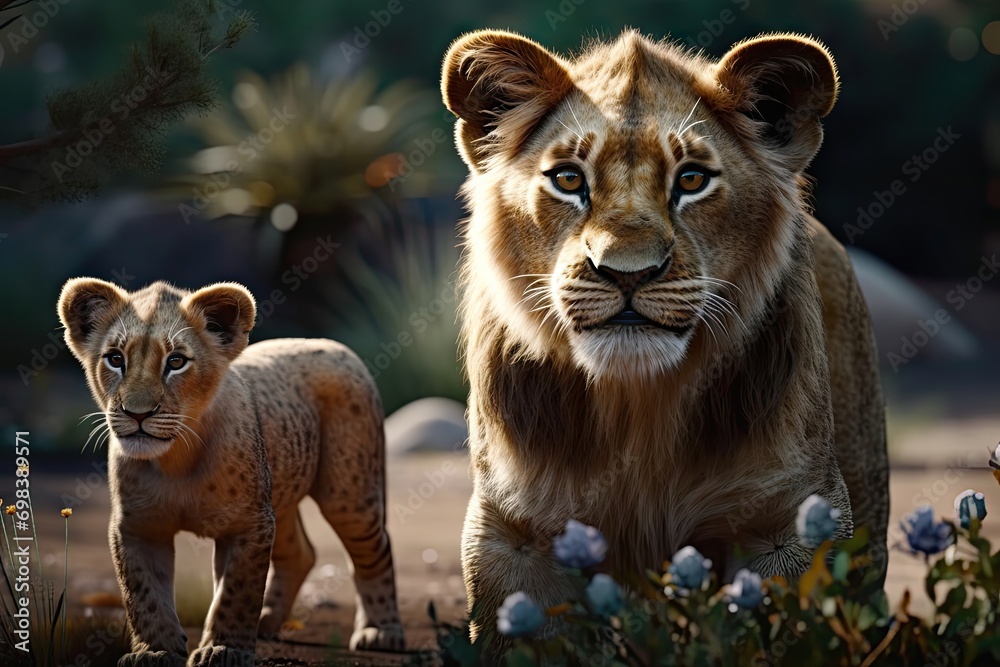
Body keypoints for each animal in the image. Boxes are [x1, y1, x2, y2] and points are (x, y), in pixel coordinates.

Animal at [58, 278, 404, 667]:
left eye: (176, 361)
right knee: (301, 553)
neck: (177, 460)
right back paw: (268, 621)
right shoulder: (137, 528)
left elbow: (237, 591)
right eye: (116, 359)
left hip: (348, 496)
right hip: (279, 497)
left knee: (374, 551)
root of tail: (336, 346)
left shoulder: (248, 524)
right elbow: (144, 595)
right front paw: (155, 651)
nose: (138, 413)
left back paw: (381, 632)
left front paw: (223, 649)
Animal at [440, 29, 889, 641]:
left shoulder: (790, 517)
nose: (627, 272)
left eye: (692, 180)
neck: (638, 406)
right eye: (569, 179)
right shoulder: (513, 536)